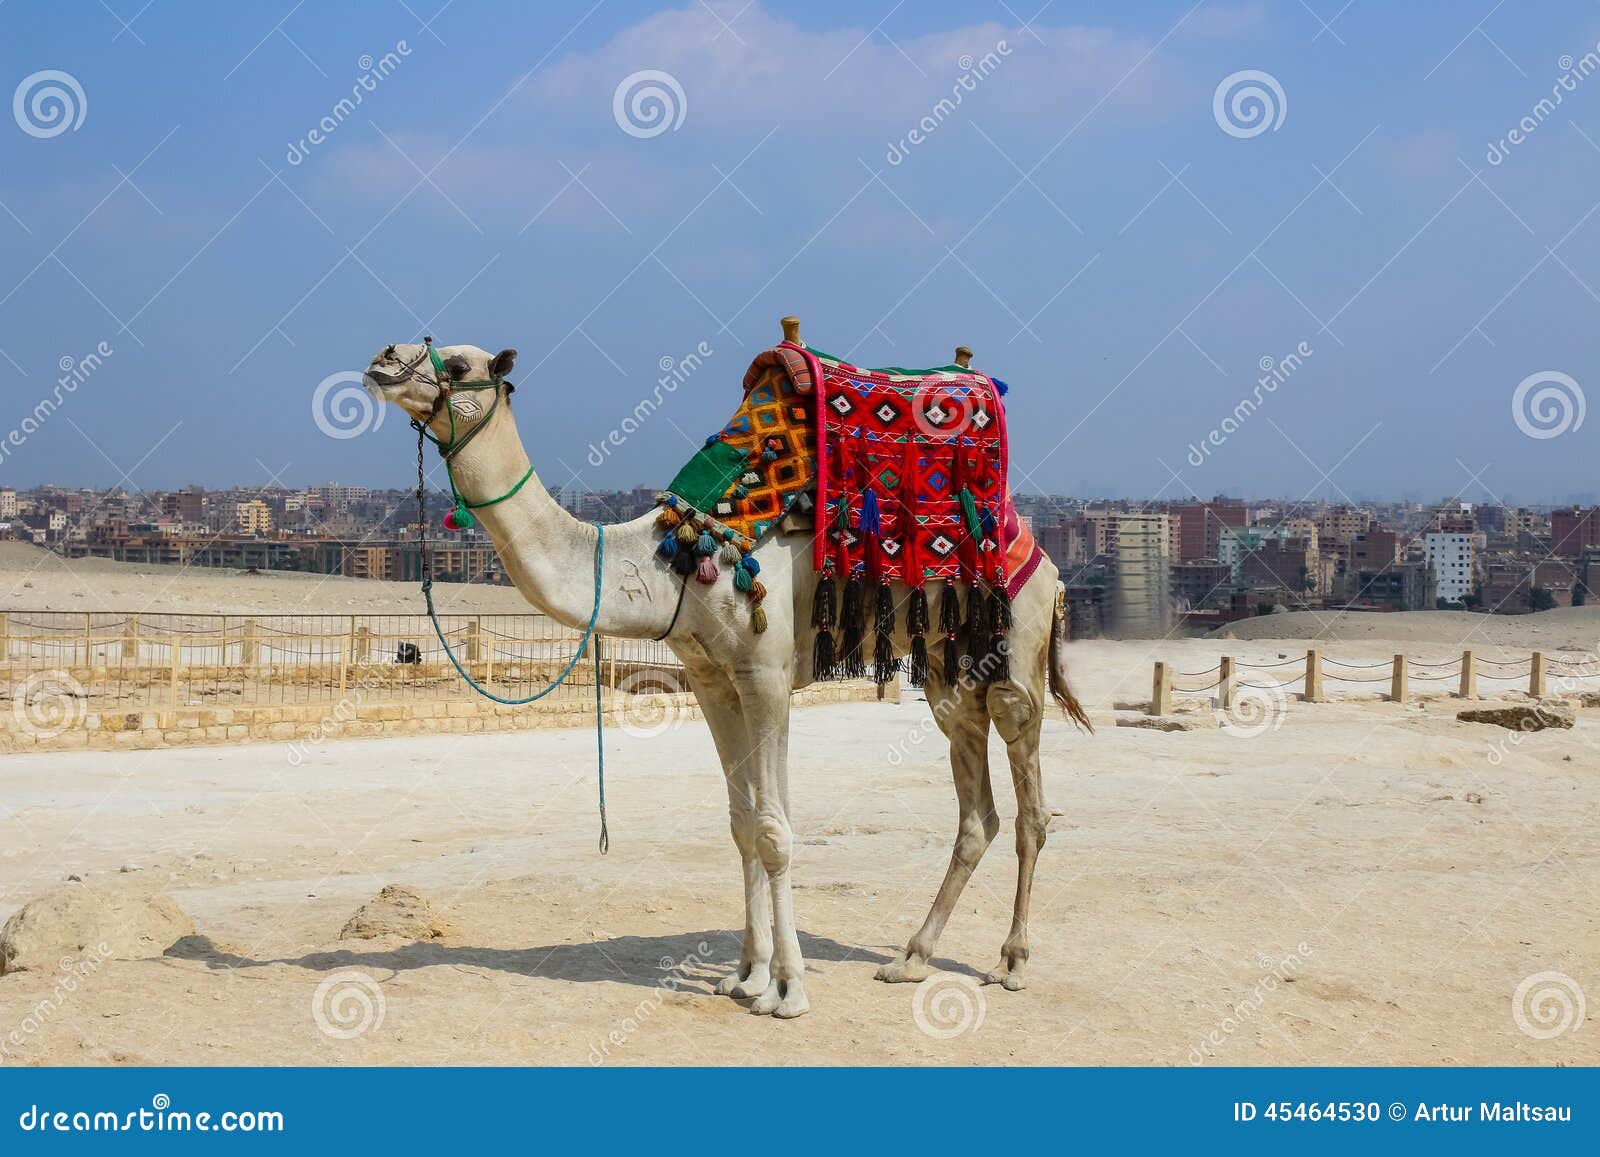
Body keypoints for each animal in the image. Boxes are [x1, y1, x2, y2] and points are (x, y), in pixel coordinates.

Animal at [364, 319, 1089, 1019]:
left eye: (459, 364)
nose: (382, 358)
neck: (671, 561)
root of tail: (1044, 558)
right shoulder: (713, 677)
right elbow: (743, 824)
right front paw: (746, 974)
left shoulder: (765, 672)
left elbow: (774, 830)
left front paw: (788, 990)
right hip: (947, 667)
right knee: (976, 810)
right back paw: (910, 957)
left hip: (1014, 650)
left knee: (1030, 803)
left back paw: (1012, 962)